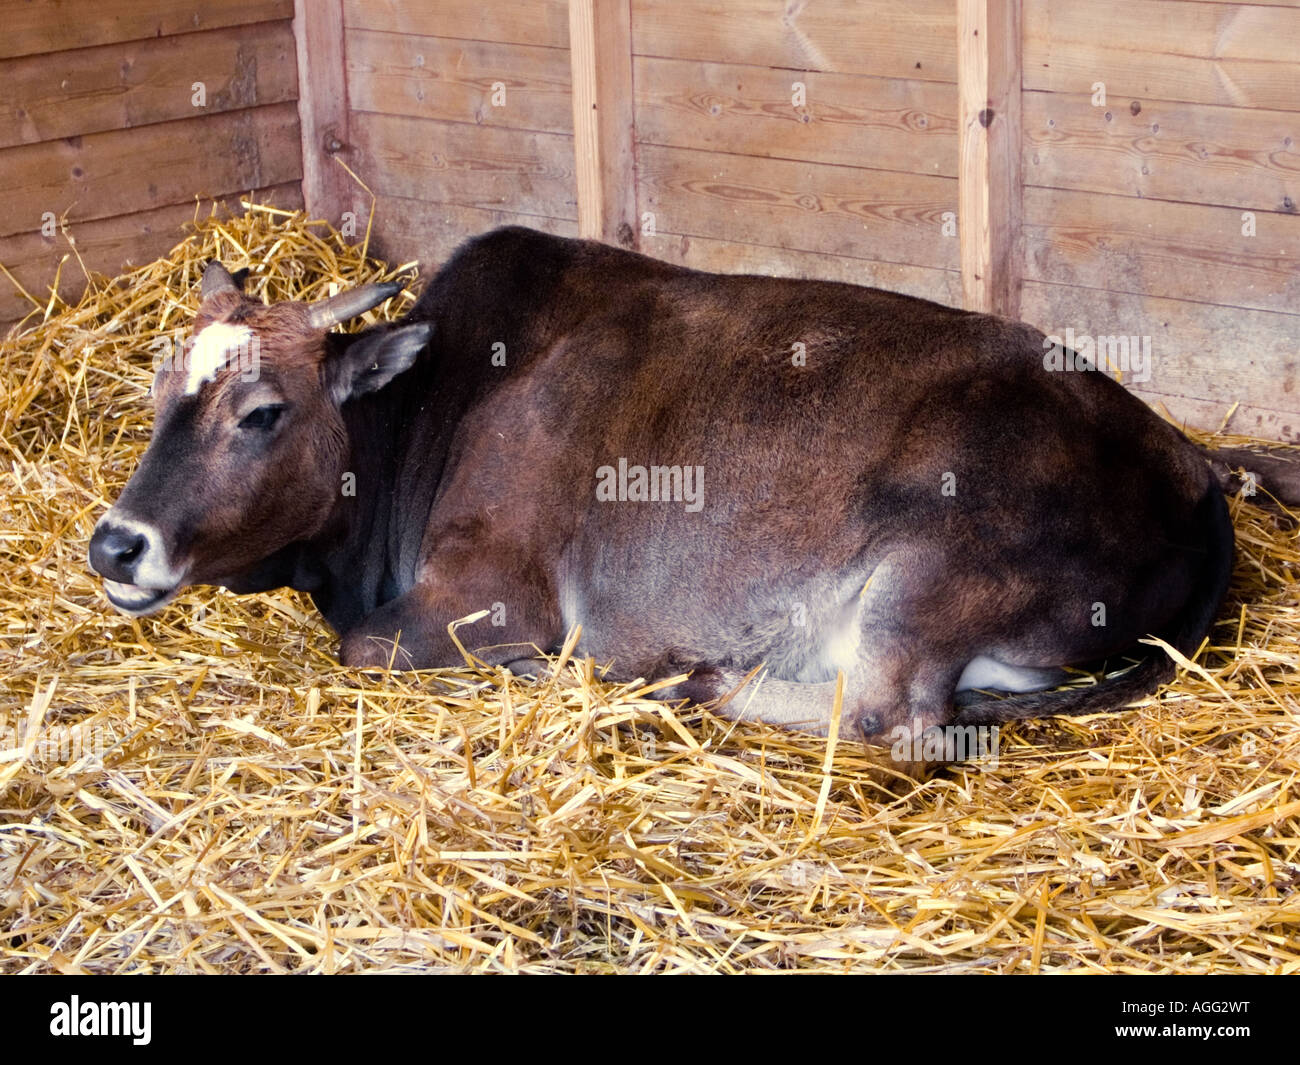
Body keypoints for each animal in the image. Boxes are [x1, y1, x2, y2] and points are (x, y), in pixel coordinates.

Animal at [89, 226, 1239, 751]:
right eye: (154, 389)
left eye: (262, 413)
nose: (114, 545)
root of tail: (1190, 465)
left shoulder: (489, 595)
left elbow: (366, 647)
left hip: (925, 574)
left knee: (893, 722)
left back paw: (697, 684)